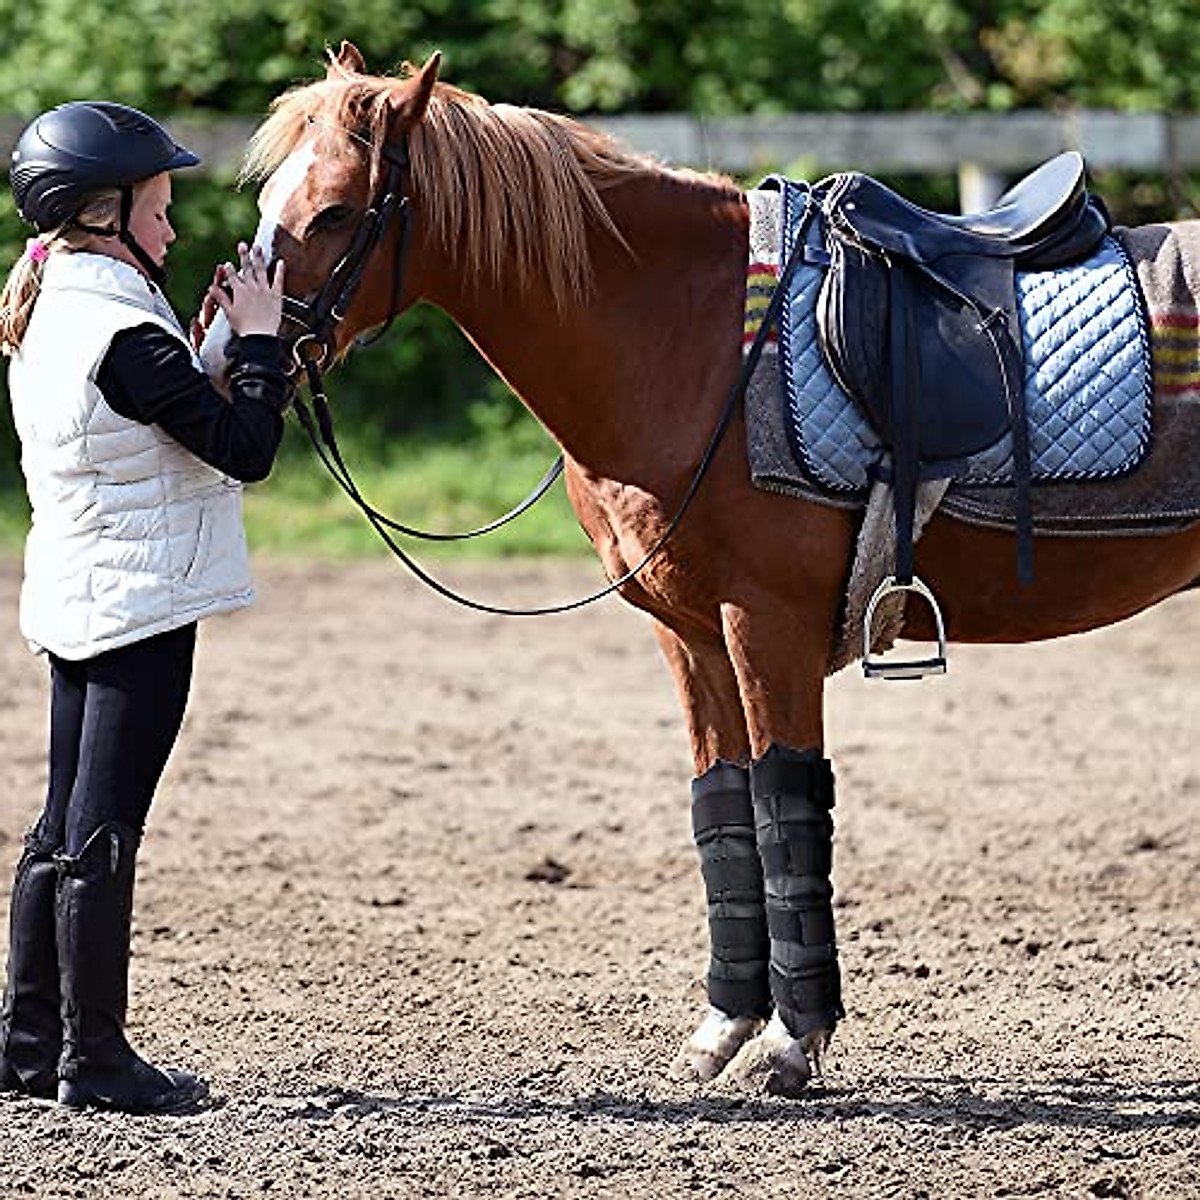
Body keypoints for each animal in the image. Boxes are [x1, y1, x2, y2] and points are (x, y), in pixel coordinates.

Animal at [200, 42, 1200, 1097]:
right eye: (272, 198)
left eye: (335, 212)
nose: (224, 355)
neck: (690, 340)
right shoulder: (688, 635)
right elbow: (723, 811)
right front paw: (726, 1026)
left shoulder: (768, 625)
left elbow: (783, 803)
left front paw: (792, 1041)